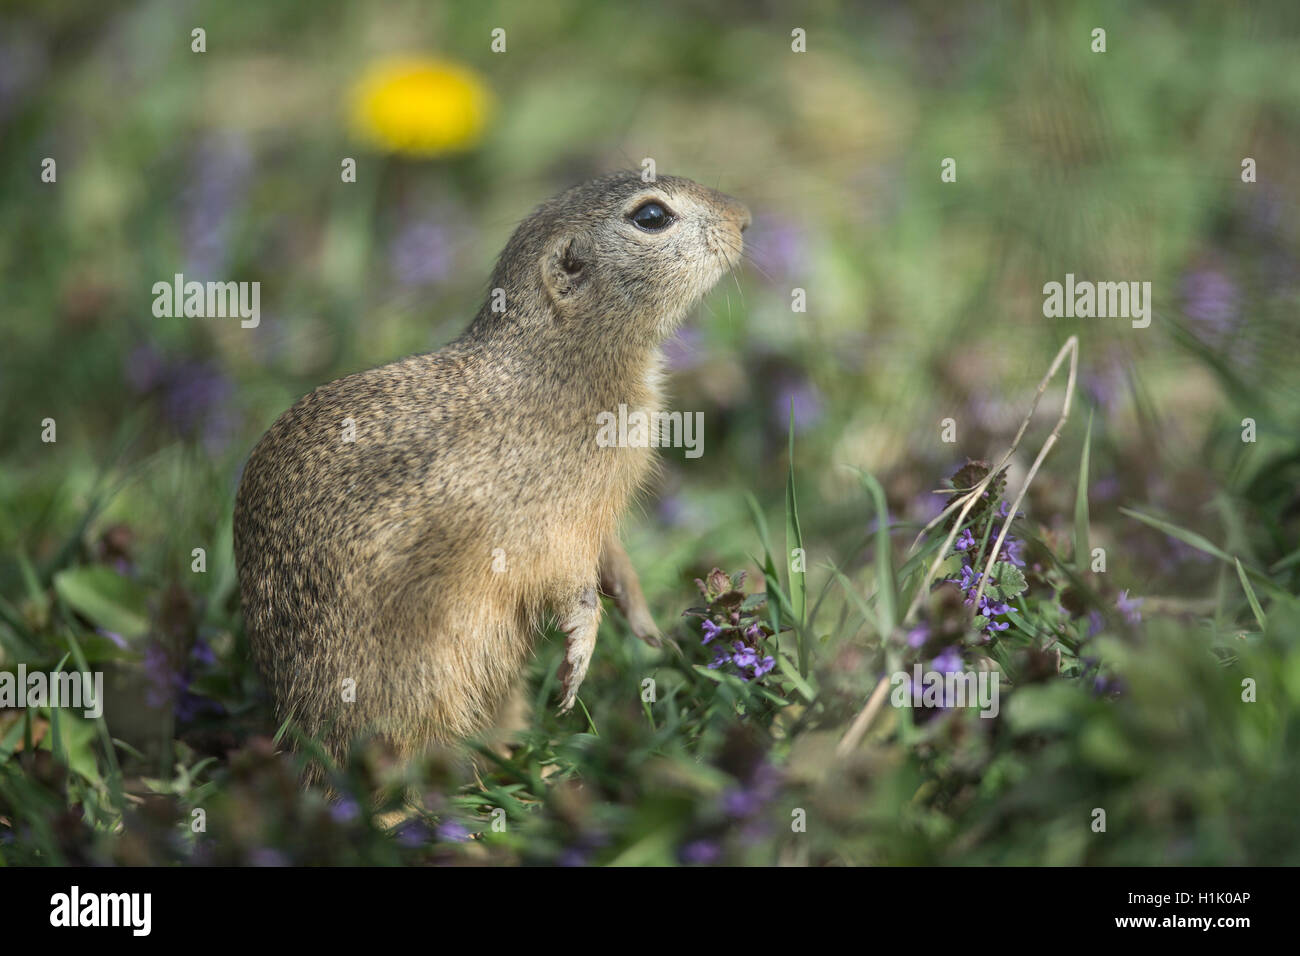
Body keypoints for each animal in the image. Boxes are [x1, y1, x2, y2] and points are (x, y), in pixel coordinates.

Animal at [233, 171, 749, 775]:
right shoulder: (547, 526)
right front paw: (581, 656)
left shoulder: (593, 522)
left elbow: (613, 559)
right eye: (651, 217)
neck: (559, 367)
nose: (744, 217)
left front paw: (647, 625)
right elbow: (571, 587)